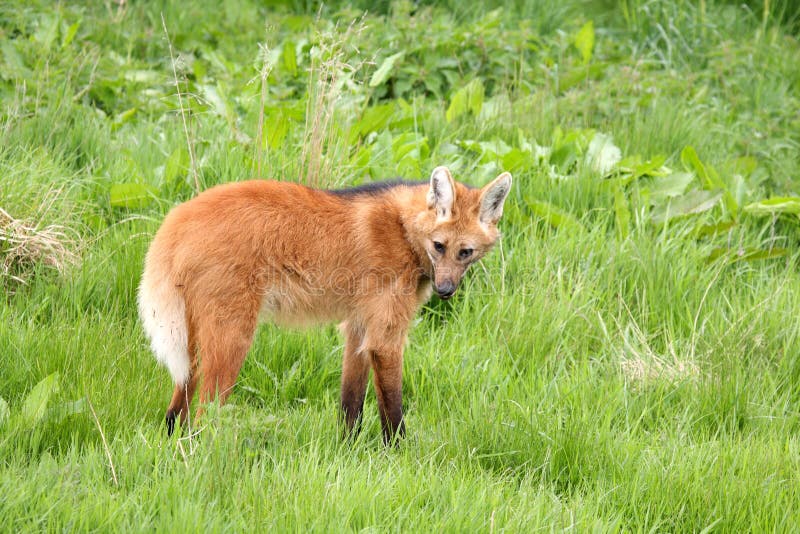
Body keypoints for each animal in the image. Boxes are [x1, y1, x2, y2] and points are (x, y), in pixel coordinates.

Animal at [138, 166, 512, 444]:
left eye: (466, 252)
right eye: (439, 246)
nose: (445, 289)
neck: (405, 231)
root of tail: (178, 217)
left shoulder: (359, 325)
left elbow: (351, 401)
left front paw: (346, 450)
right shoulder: (385, 336)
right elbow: (392, 409)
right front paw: (401, 456)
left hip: (192, 334)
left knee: (179, 400)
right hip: (233, 337)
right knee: (205, 412)